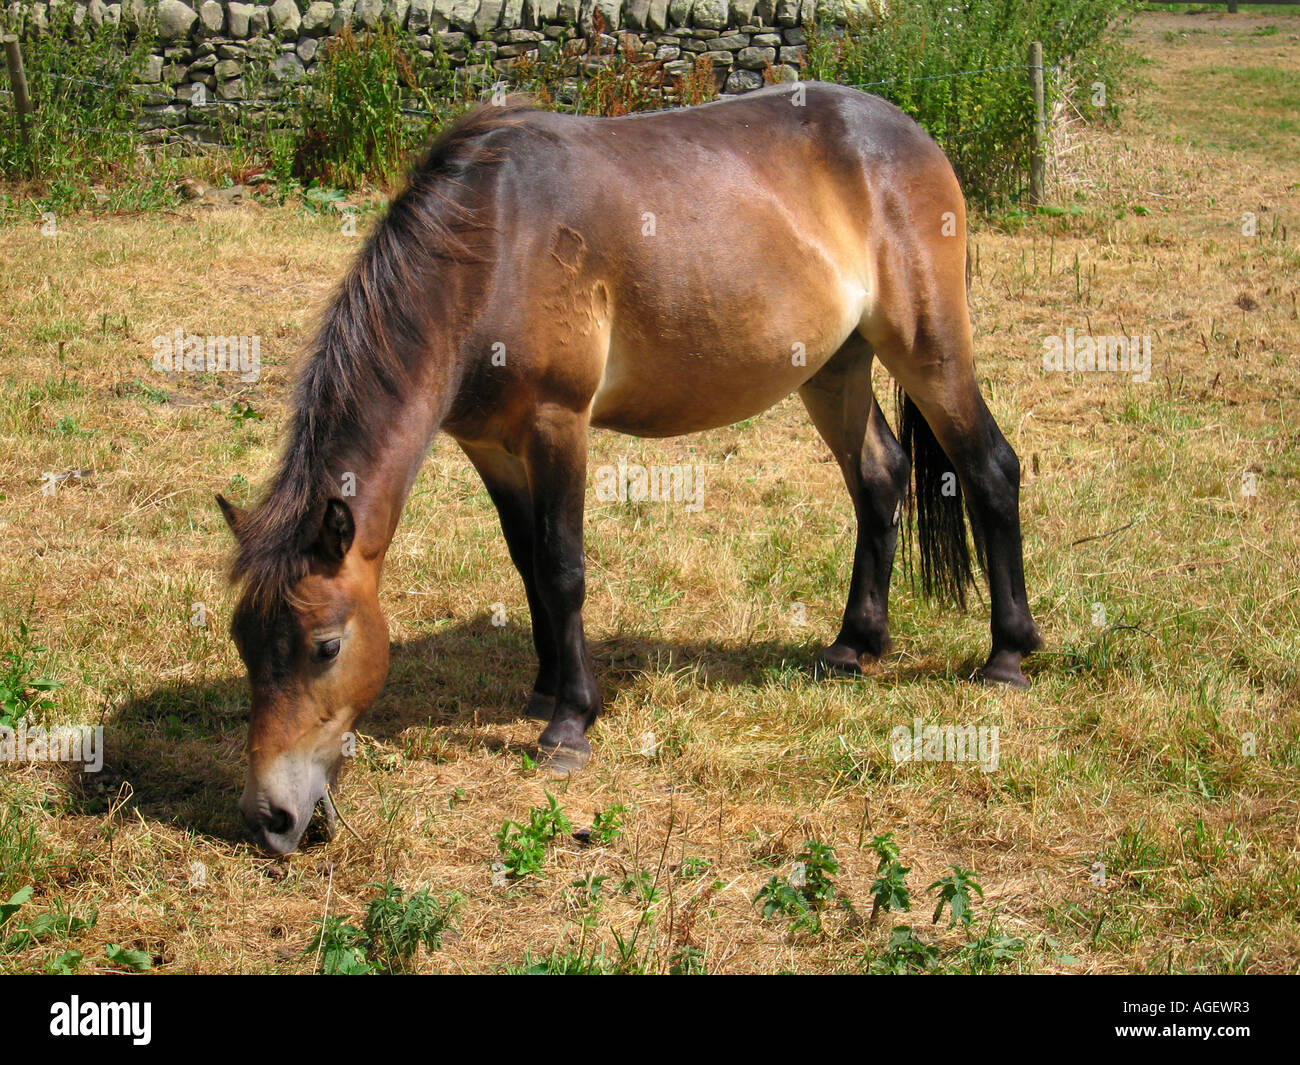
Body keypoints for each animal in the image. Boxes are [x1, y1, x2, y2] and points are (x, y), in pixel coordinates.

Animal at [217, 83, 1042, 855]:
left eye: (326, 645)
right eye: (243, 643)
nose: (270, 817)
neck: (494, 243)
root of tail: (909, 135)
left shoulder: (557, 423)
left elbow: (562, 567)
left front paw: (569, 723)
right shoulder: (489, 444)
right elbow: (525, 561)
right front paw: (545, 684)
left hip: (927, 346)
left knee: (990, 469)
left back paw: (1007, 653)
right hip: (834, 364)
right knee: (878, 475)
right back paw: (853, 644)